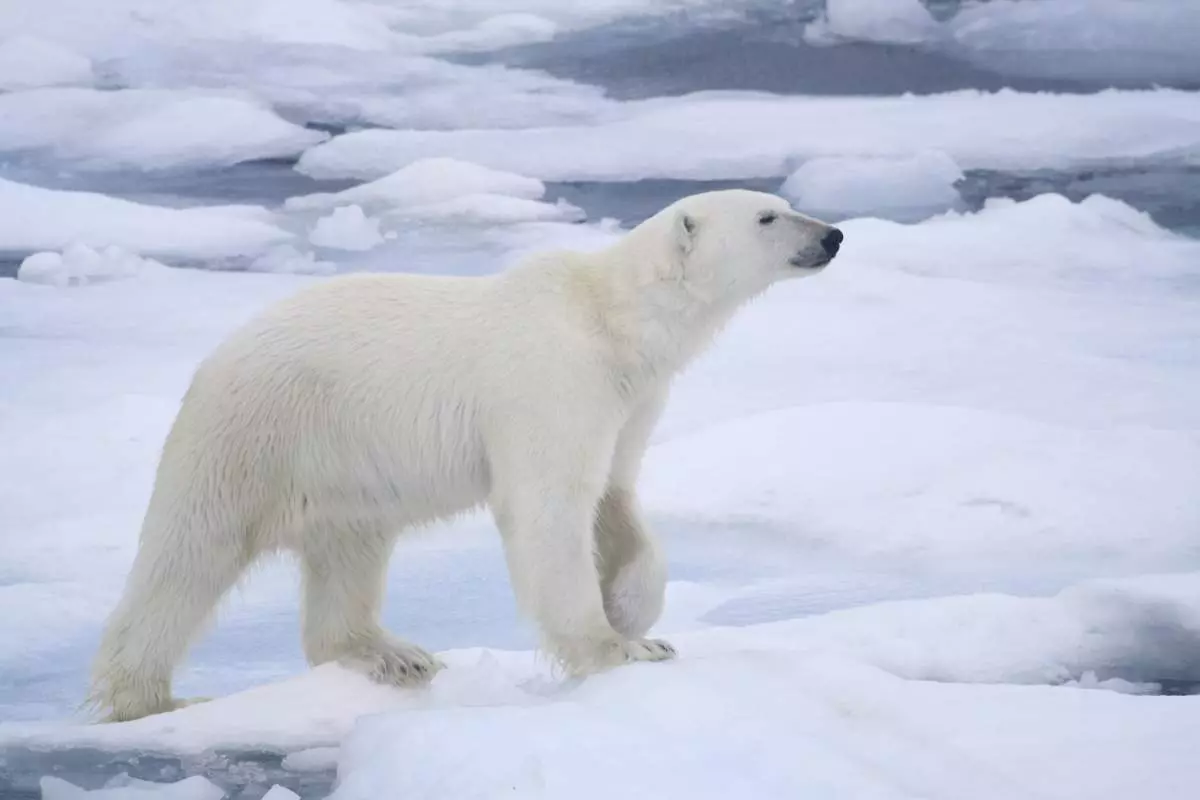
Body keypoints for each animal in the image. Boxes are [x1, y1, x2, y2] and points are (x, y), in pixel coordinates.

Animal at [87, 190, 844, 724]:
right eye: (769, 216)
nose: (833, 235)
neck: (612, 319)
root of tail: (215, 358)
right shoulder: (551, 375)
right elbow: (548, 507)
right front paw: (613, 649)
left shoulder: (629, 397)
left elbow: (614, 496)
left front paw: (636, 616)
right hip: (256, 433)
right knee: (190, 554)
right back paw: (150, 698)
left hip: (342, 468)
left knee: (349, 552)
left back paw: (392, 654)